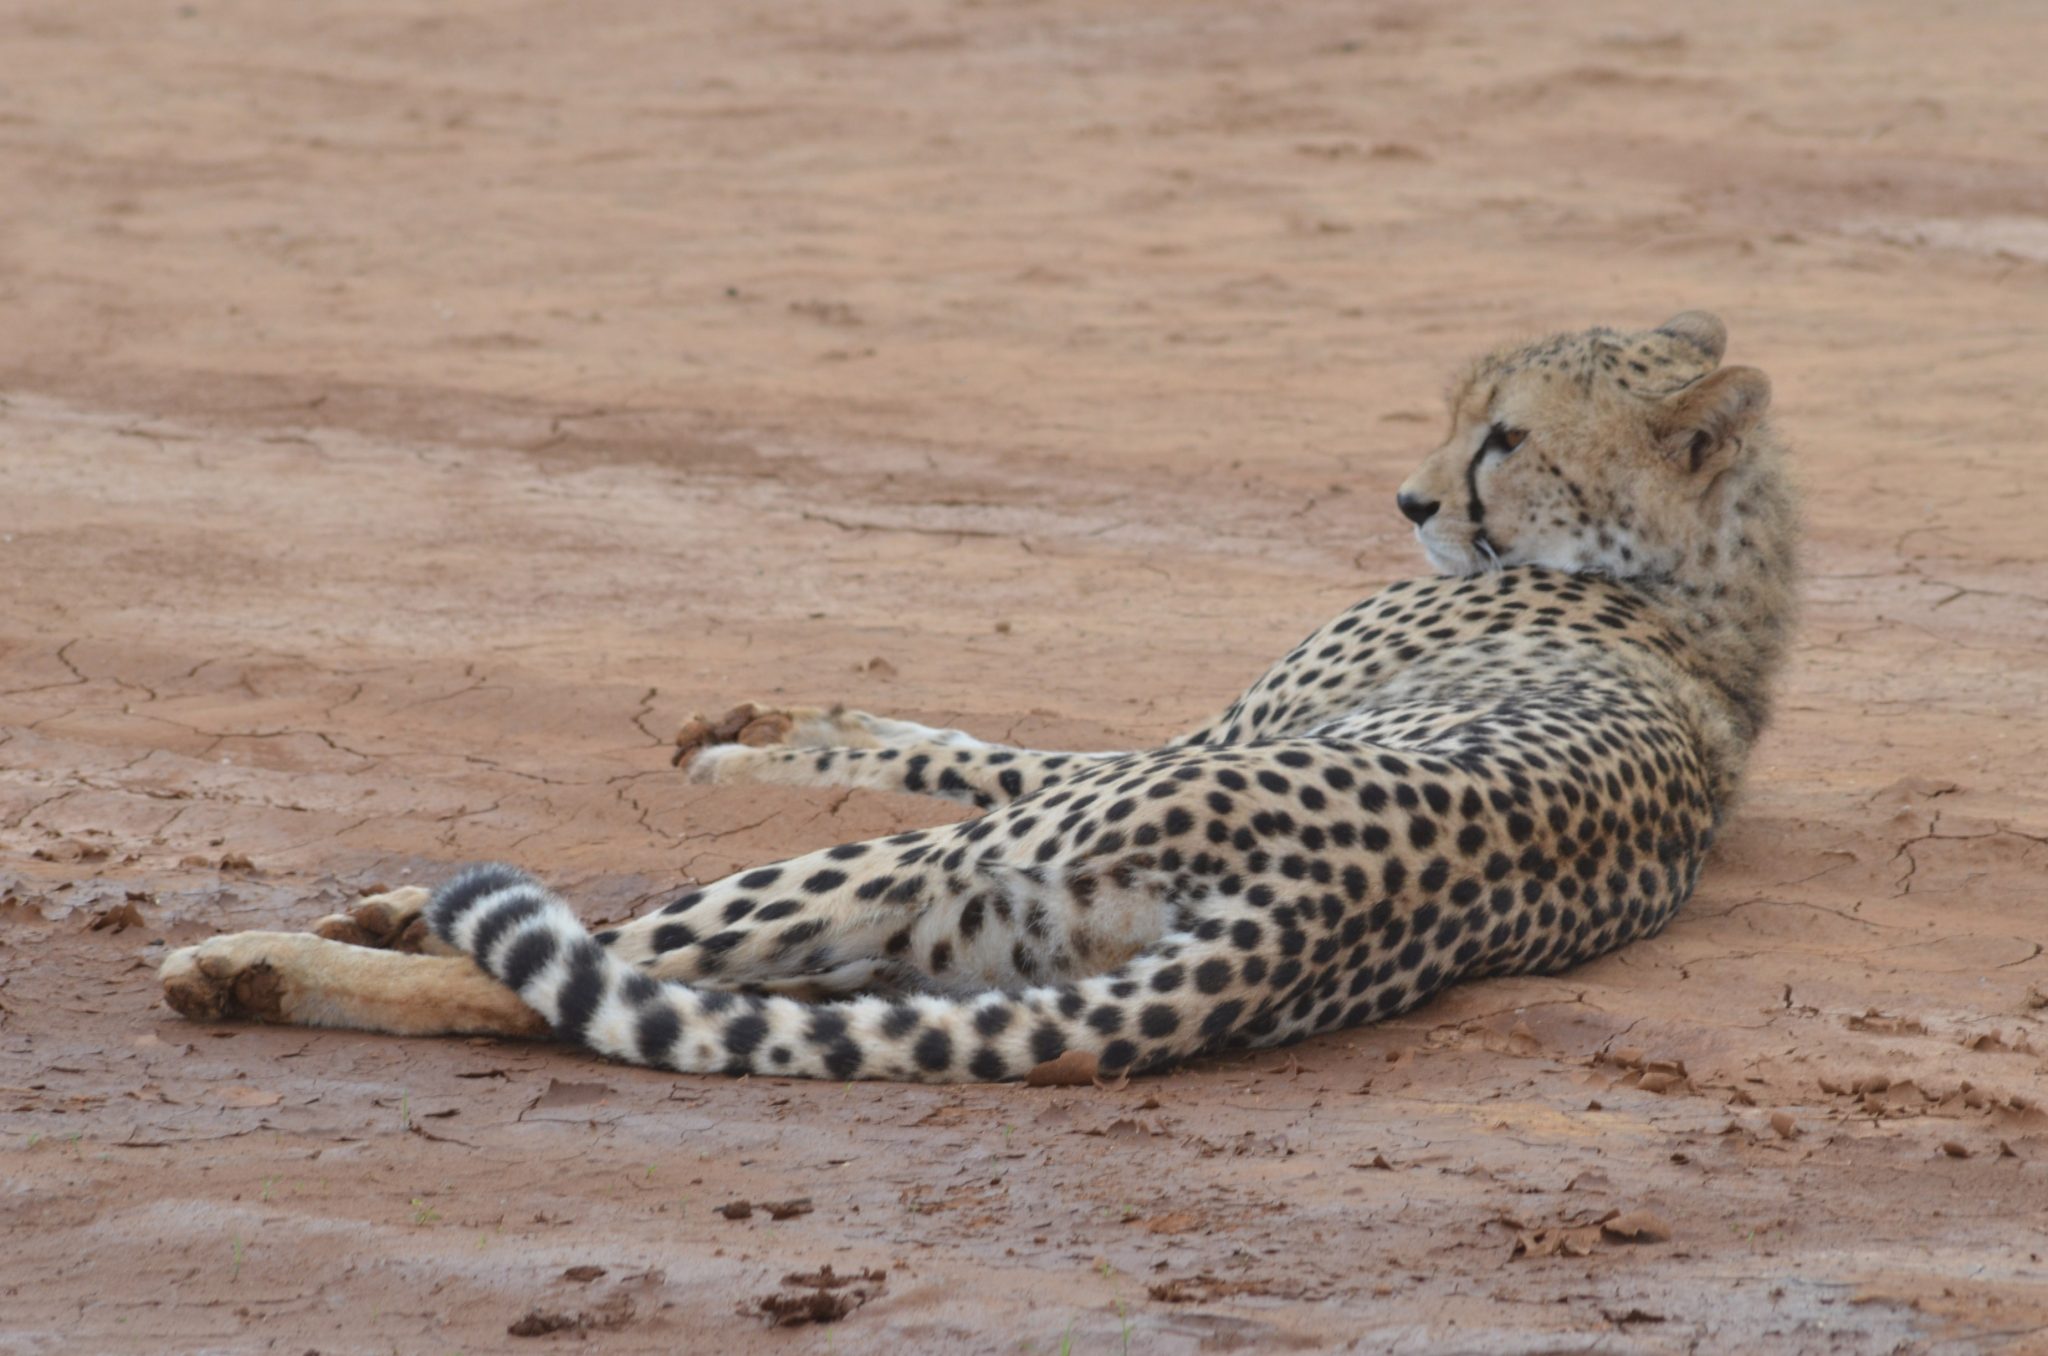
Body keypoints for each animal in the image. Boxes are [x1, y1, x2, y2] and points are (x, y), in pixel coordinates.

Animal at [159, 310, 1798, 1085]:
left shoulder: (1188, 742)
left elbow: (988, 753)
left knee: (568, 970)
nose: (1406, 501)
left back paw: (272, 958)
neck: (1697, 603)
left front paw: (746, 756)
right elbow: (967, 737)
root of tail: (1309, 918)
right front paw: (770, 726)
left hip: (912, 884)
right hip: (961, 959)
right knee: (656, 995)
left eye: (1504, 436)